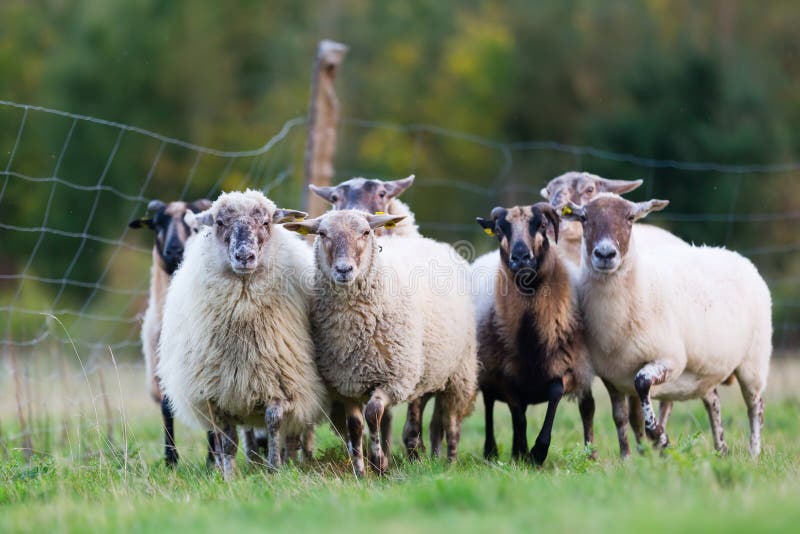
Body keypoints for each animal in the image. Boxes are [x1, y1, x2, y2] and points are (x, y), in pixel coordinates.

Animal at [128, 197, 211, 466]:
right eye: (157, 224)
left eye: (192, 225)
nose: (173, 251)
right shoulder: (160, 366)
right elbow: (166, 407)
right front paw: (171, 459)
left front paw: (212, 460)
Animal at [158, 190, 326, 478]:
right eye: (219, 222)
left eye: (267, 222)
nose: (244, 257)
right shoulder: (219, 393)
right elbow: (227, 440)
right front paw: (228, 476)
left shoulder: (281, 383)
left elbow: (274, 423)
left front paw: (274, 468)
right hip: (243, 390)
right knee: (246, 432)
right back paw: (252, 461)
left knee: (294, 432)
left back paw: (293, 461)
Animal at [283, 210, 478, 476]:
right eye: (322, 233)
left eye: (366, 232)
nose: (344, 270)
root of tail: (434, 242)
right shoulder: (345, 383)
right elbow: (355, 426)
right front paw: (360, 470)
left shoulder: (392, 380)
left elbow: (373, 413)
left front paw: (379, 462)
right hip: (426, 370)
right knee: (423, 411)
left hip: (459, 372)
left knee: (452, 421)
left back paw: (449, 463)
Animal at [475, 203, 595, 464]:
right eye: (499, 229)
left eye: (542, 225)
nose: (520, 258)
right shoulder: (504, 375)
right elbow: (518, 416)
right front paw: (521, 453)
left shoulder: (567, 365)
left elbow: (555, 393)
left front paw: (537, 452)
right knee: (489, 404)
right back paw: (491, 451)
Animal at [561, 193, 772, 458]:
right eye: (584, 218)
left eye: (630, 218)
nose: (605, 254)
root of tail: (739, 257)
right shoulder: (610, 374)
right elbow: (620, 417)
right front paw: (627, 458)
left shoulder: (671, 360)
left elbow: (641, 384)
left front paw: (659, 437)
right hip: (705, 371)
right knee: (713, 400)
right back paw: (720, 449)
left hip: (754, 360)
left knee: (756, 406)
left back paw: (753, 453)